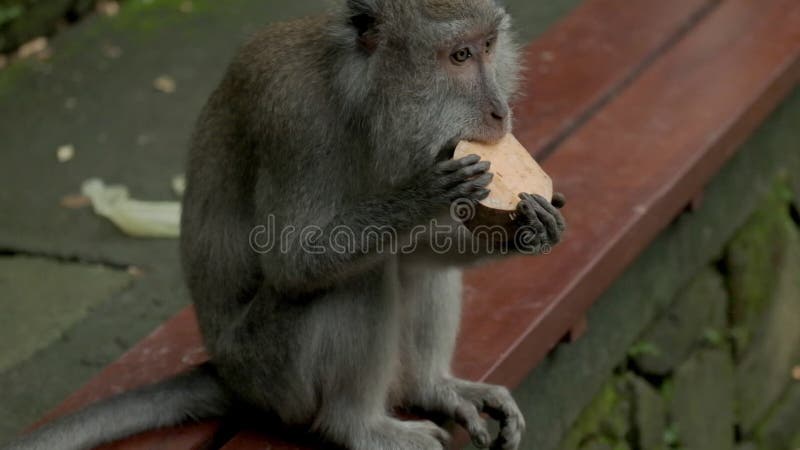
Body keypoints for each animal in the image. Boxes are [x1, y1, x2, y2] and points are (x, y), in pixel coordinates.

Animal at [3, 0, 566, 449]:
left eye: (489, 46)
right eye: (459, 56)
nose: (500, 112)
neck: (361, 101)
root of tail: (228, 373)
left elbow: (415, 251)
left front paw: (525, 230)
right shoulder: (296, 127)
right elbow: (292, 263)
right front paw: (422, 196)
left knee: (401, 268)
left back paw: (431, 387)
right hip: (271, 372)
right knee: (357, 280)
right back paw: (358, 426)